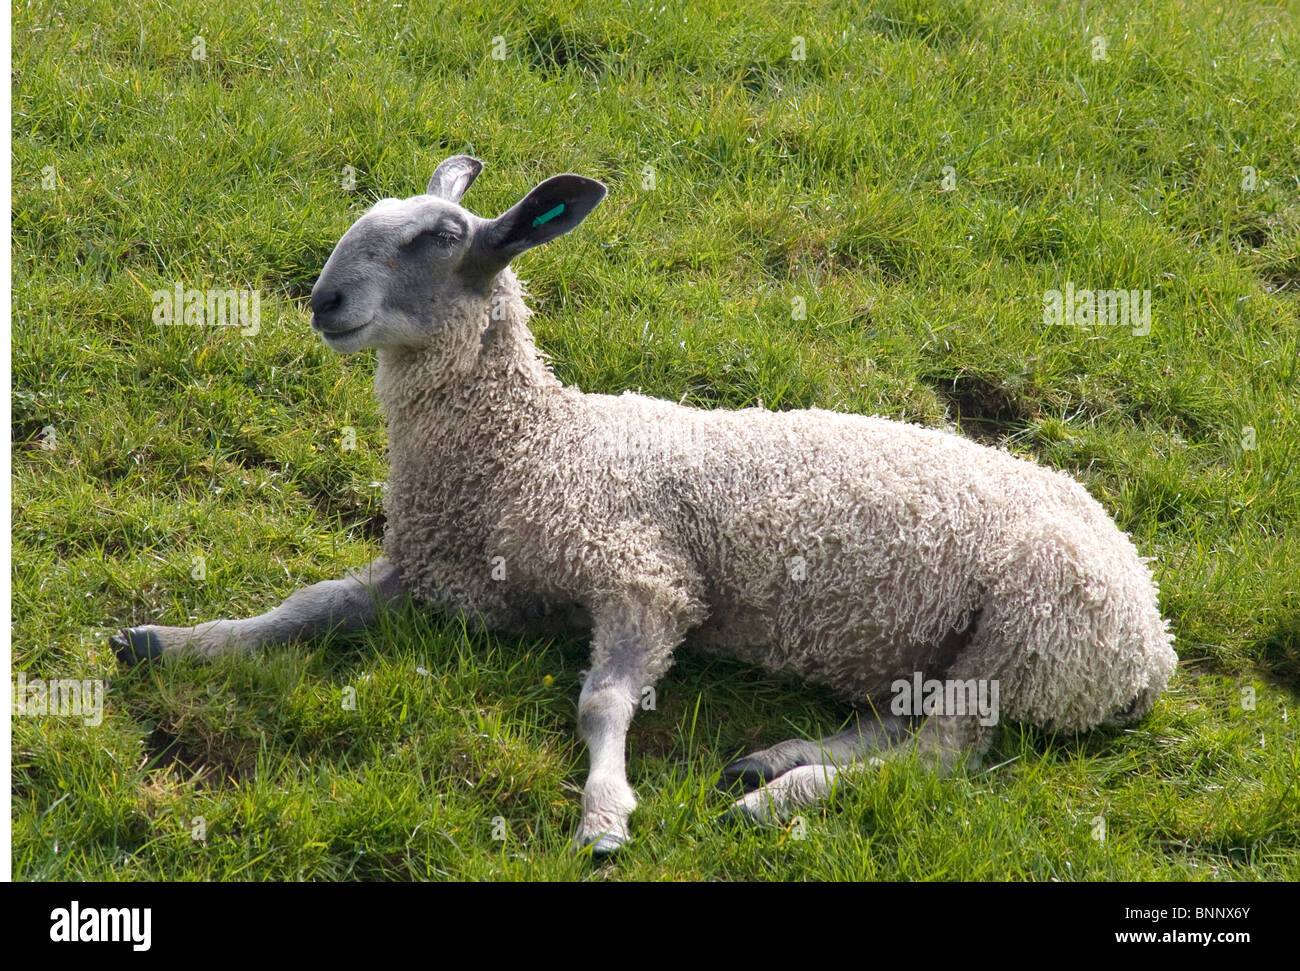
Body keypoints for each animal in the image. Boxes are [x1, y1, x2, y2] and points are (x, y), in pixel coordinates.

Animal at [113, 155, 1178, 855]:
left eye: (437, 238)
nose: (323, 303)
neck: (534, 446)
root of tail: (1152, 639)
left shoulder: (644, 576)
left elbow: (603, 700)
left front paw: (603, 815)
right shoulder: (438, 572)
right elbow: (307, 606)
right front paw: (171, 640)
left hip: (1025, 633)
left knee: (944, 755)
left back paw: (781, 798)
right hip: (952, 646)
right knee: (908, 723)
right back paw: (780, 755)